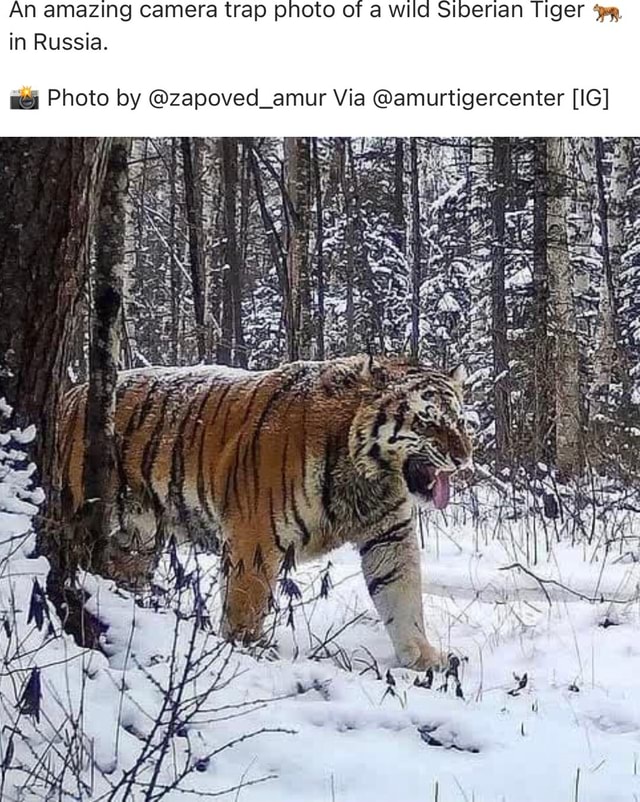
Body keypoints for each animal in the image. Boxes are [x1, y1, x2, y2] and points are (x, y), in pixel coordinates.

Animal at [57, 355, 473, 670]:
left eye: (459, 420)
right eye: (427, 420)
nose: (464, 459)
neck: (368, 476)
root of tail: (70, 395)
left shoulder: (390, 534)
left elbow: (402, 594)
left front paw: (422, 657)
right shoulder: (255, 537)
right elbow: (247, 602)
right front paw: (248, 650)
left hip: (136, 540)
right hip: (79, 514)